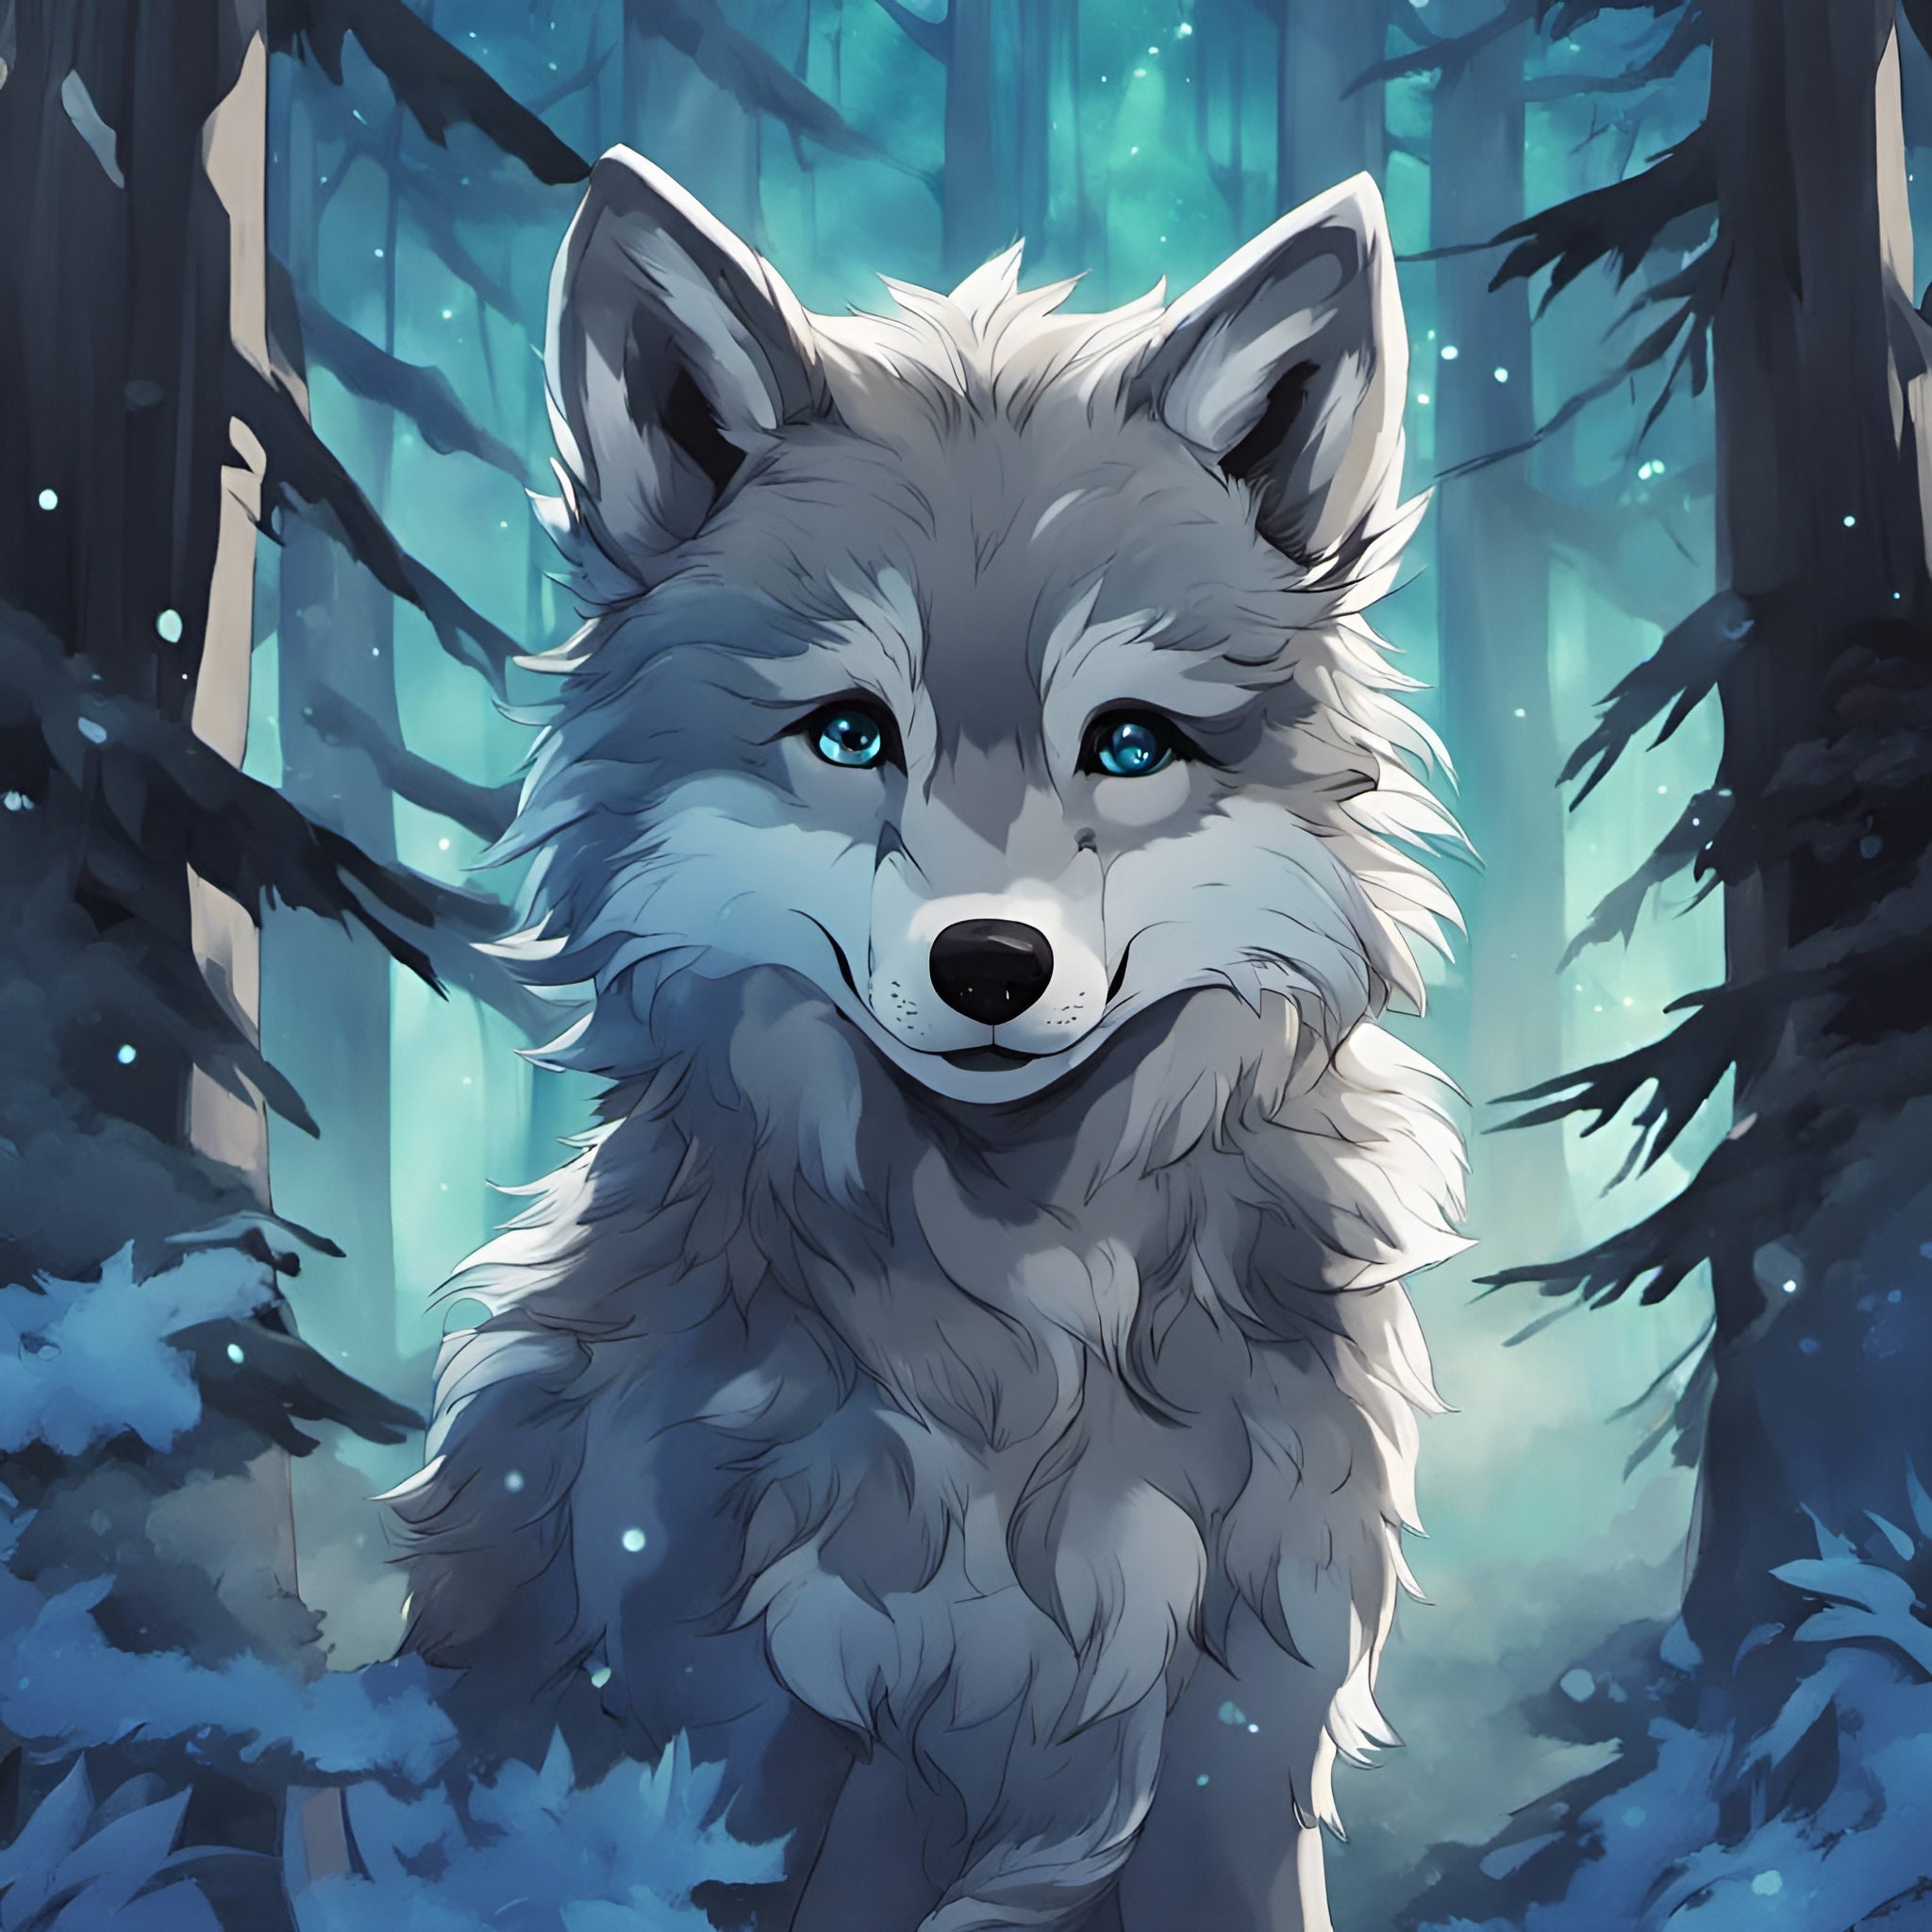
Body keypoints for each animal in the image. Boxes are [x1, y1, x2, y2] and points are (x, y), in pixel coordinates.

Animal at [387, 147, 1467, 1932]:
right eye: (846, 734)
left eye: (1127, 743)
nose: (991, 965)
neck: (1018, 1324)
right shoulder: (757, 1738)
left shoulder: (1239, 1723)